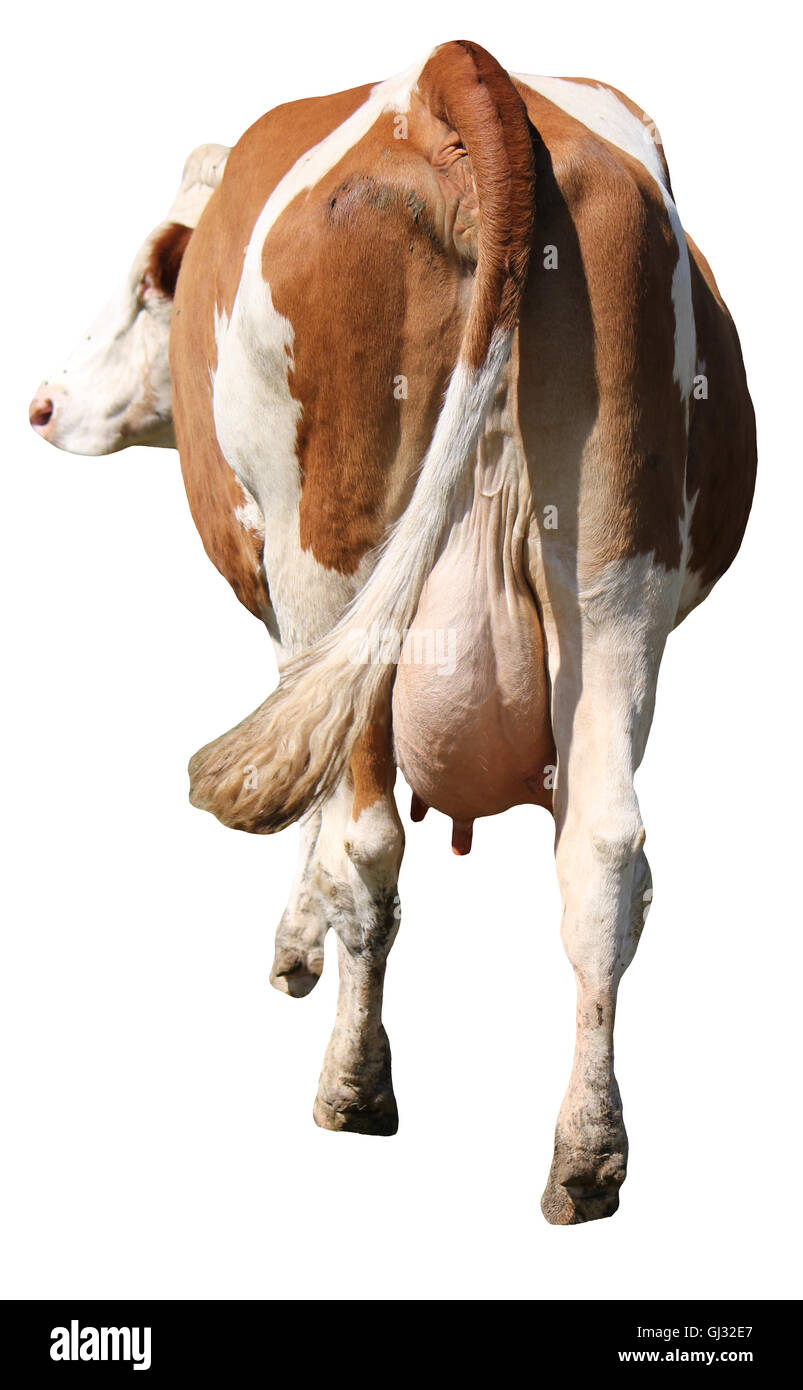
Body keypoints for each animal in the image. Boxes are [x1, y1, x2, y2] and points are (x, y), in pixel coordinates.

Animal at [29, 41, 756, 1223]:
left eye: (148, 286)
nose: (42, 403)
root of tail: (454, 77)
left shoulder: (284, 602)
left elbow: (315, 809)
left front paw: (293, 947)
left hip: (339, 555)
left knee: (369, 839)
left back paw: (353, 1084)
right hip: (613, 579)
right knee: (603, 854)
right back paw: (584, 1155)